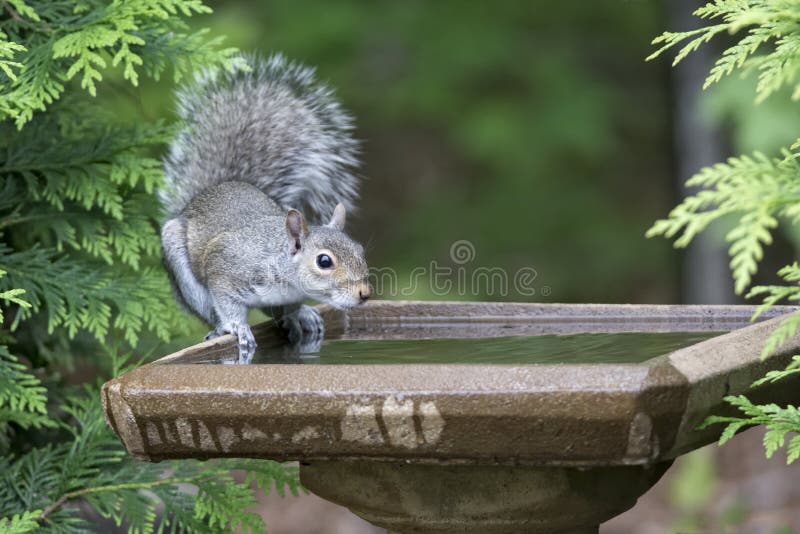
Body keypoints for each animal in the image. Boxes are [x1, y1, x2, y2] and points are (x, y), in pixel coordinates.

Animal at [158, 54, 371, 363]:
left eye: (359, 250)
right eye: (324, 261)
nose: (365, 293)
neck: (280, 267)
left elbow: (286, 309)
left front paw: (297, 315)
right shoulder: (225, 269)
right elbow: (227, 302)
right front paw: (238, 327)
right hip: (184, 274)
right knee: (209, 311)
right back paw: (219, 328)